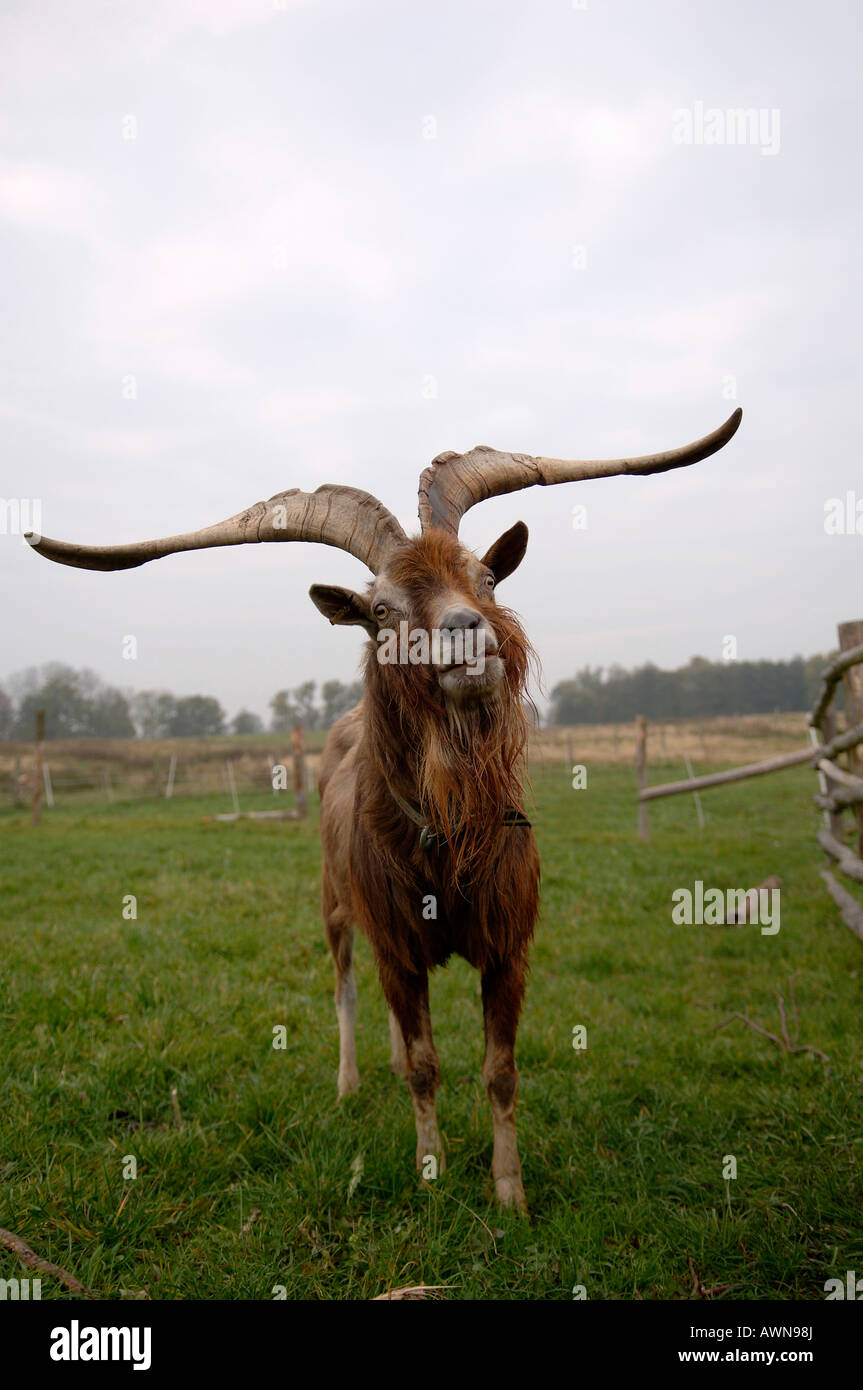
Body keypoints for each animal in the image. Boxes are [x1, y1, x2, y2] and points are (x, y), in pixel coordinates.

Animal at [27, 407, 742, 1211]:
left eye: (485, 576)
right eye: (379, 609)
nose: (467, 631)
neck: (447, 841)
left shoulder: (507, 945)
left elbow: (499, 1071)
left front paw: (509, 1192)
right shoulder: (398, 942)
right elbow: (428, 1064)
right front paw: (431, 1172)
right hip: (335, 904)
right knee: (344, 985)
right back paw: (349, 1083)